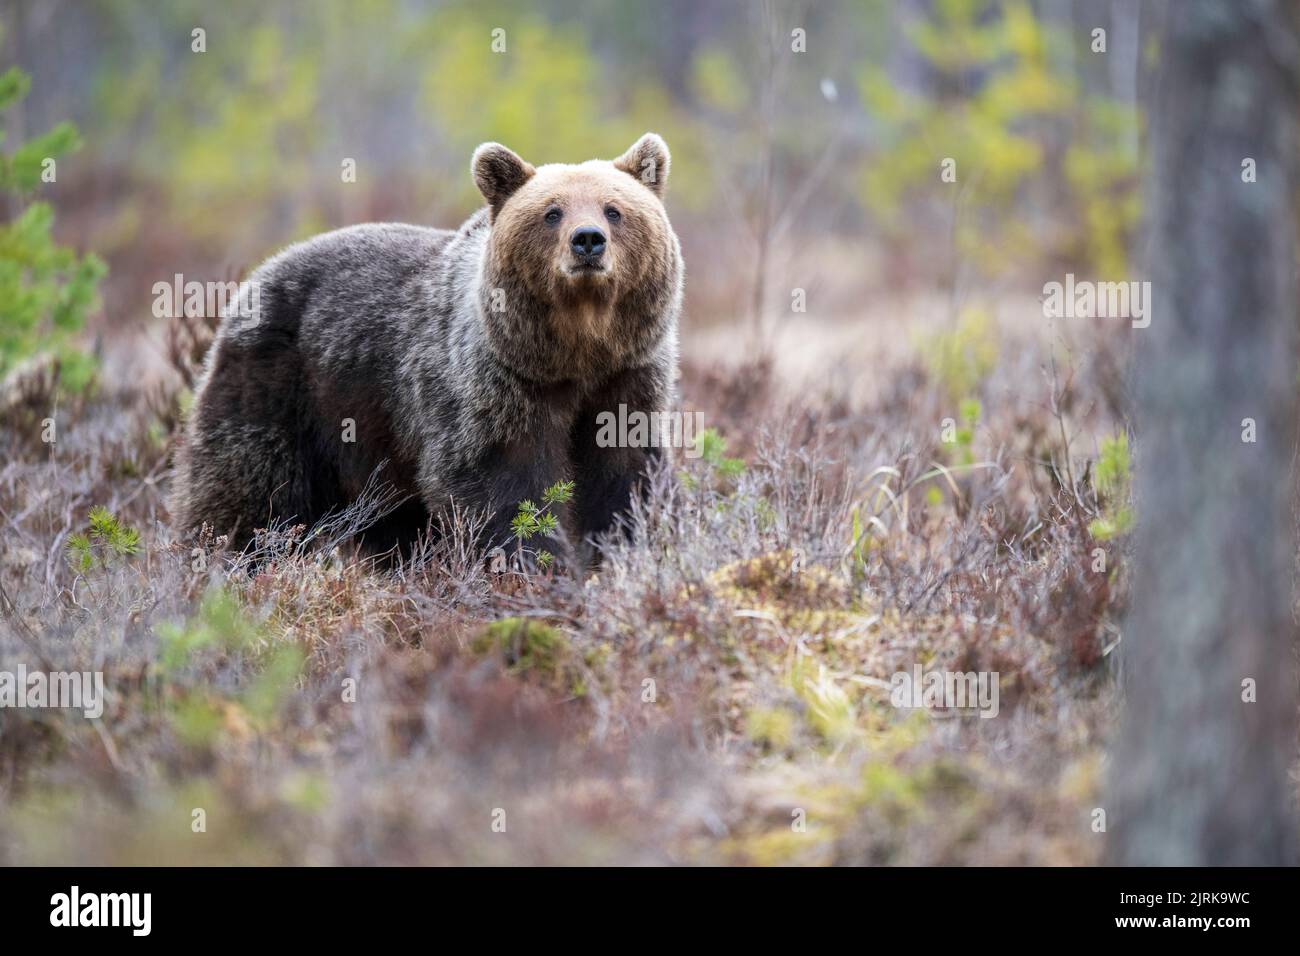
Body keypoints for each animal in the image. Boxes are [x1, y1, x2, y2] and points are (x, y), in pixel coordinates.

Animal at [171, 133, 682, 562]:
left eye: (613, 209)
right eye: (552, 212)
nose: (587, 240)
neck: (577, 352)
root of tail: (255, 278)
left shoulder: (628, 378)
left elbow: (623, 476)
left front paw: (623, 549)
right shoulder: (493, 387)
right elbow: (502, 485)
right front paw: (529, 562)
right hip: (281, 387)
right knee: (251, 493)